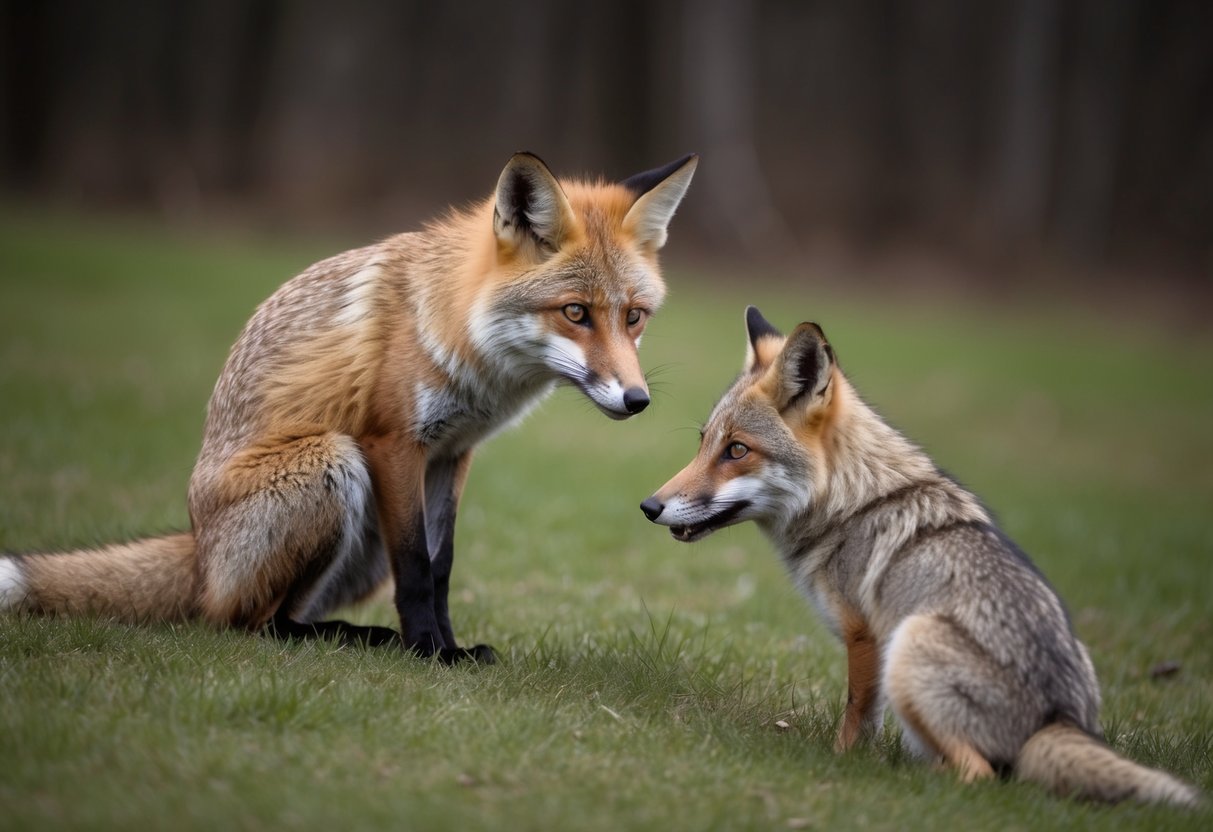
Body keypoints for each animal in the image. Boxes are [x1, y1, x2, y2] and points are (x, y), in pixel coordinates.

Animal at [0, 151, 697, 663]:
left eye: (634, 317)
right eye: (575, 312)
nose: (637, 399)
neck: (461, 338)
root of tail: (197, 547)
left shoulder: (453, 453)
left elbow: (441, 565)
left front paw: (452, 646)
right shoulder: (393, 444)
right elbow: (416, 566)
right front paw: (429, 654)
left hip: (361, 548)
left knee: (283, 610)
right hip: (333, 464)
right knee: (245, 622)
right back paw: (356, 639)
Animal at [640, 306, 1200, 807]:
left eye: (737, 450)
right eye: (704, 443)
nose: (650, 506)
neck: (849, 502)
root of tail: (1054, 719)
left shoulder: (866, 638)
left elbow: (854, 719)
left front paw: (842, 765)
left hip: (910, 642)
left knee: (980, 775)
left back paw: (904, 777)